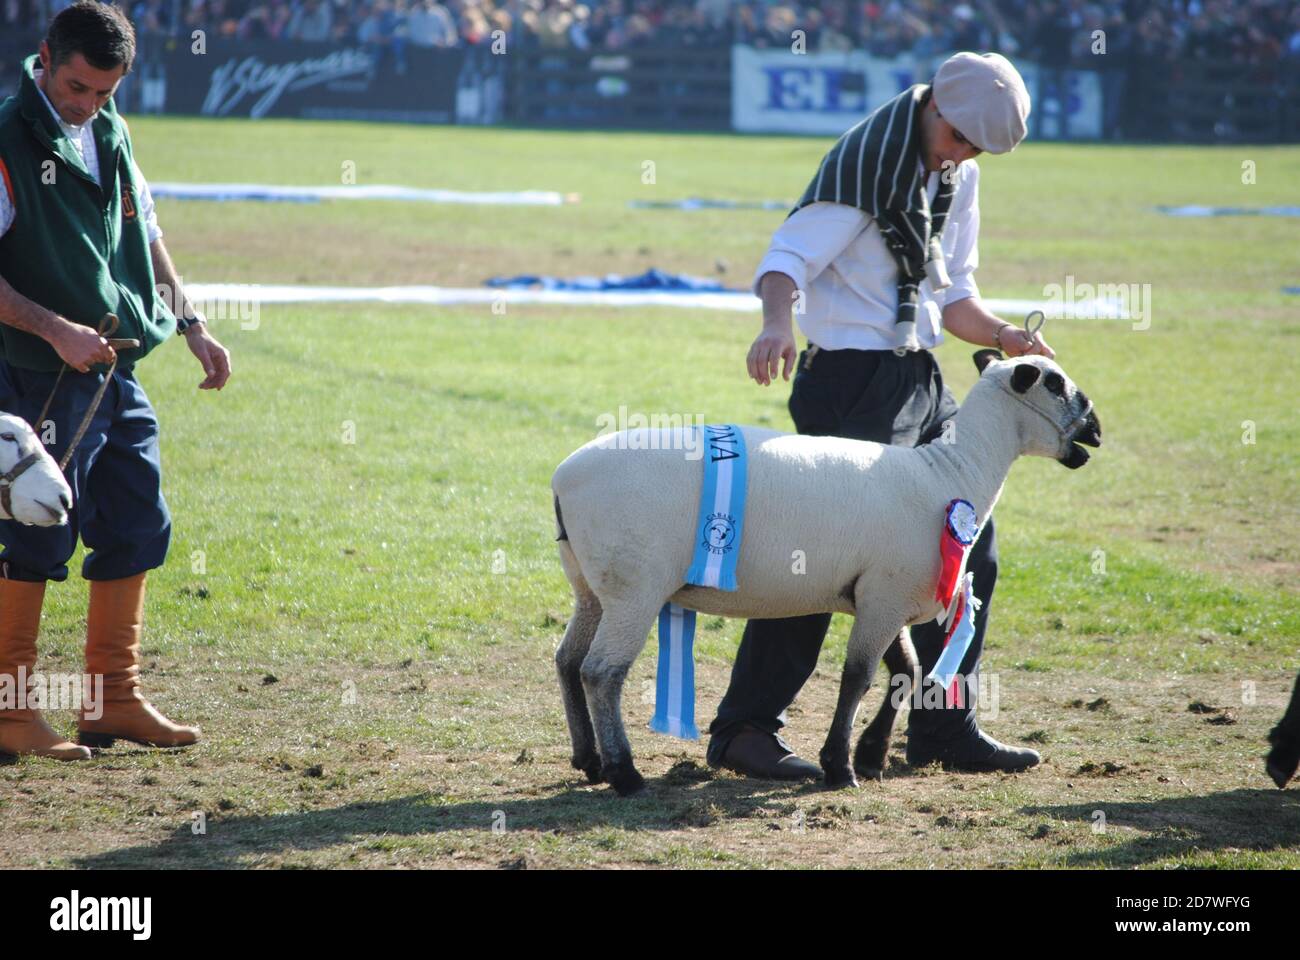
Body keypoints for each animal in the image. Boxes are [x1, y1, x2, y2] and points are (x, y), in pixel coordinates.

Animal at [550, 352, 1101, 795]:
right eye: (1058, 385)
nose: (1096, 431)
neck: (951, 473)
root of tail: (561, 478)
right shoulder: (884, 599)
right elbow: (858, 678)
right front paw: (841, 766)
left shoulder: (886, 595)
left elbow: (907, 672)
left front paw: (871, 755)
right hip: (635, 587)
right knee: (601, 673)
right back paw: (624, 774)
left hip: (591, 586)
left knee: (567, 660)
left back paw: (589, 760)